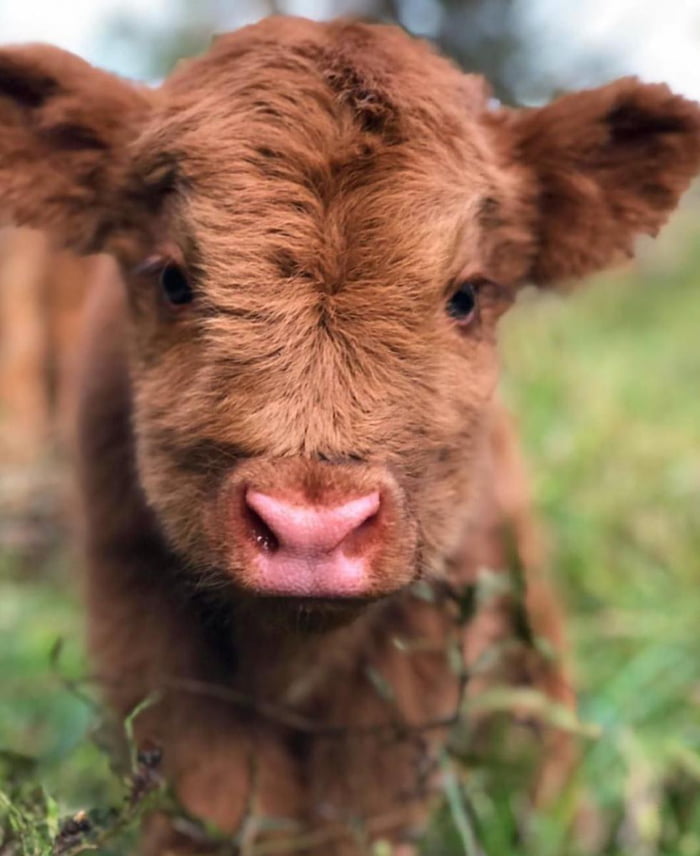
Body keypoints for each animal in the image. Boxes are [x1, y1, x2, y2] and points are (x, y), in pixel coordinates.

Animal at [0, 16, 698, 855]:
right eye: (172, 279)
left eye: (466, 296)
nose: (311, 530)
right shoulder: (136, 593)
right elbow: (207, 782)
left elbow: (365, 798)